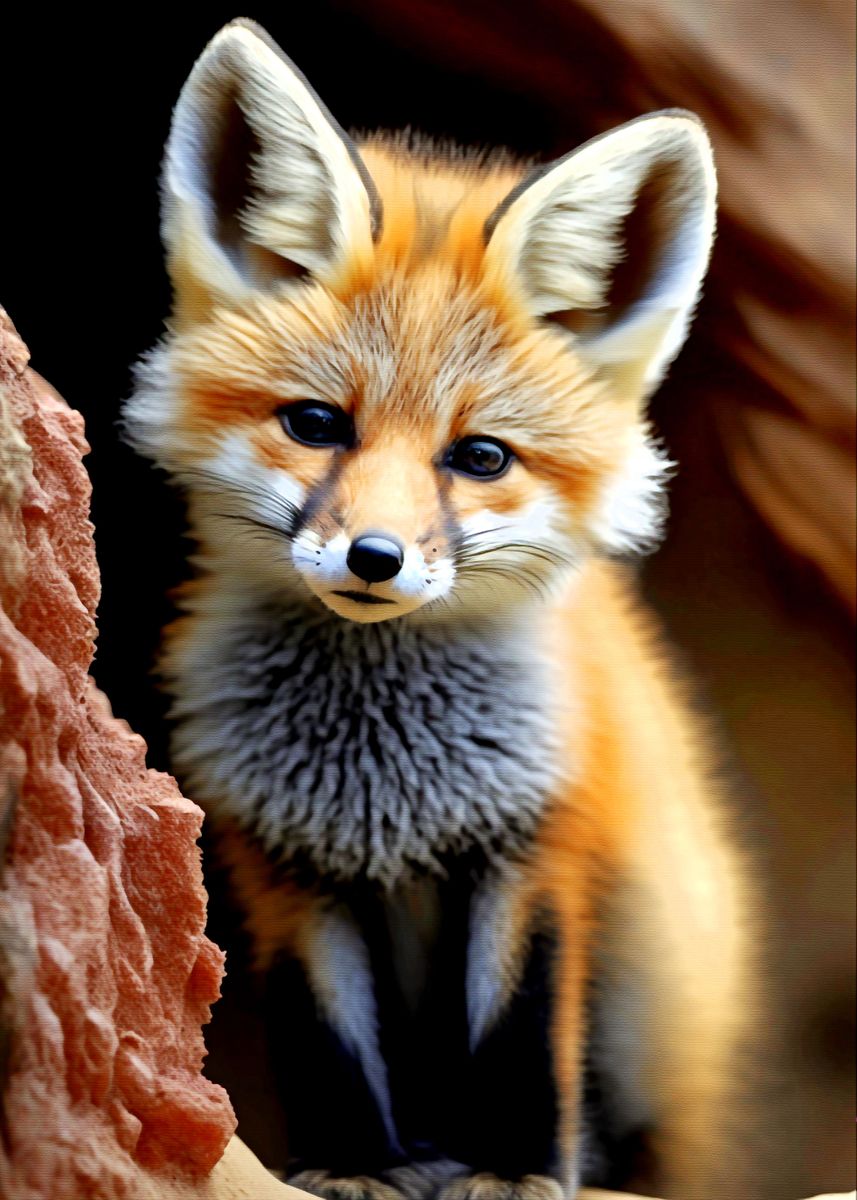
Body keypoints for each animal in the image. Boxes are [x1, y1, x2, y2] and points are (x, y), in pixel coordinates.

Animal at [123, 18, 757, 1200]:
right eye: (315, 424)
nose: (372, 558)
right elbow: (327, 1035)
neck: (385, 776)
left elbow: (517, 1031)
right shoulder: (286, 865)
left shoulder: (537, 845)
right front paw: (354, 1166)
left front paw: (510, 1169)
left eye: (480, 458)